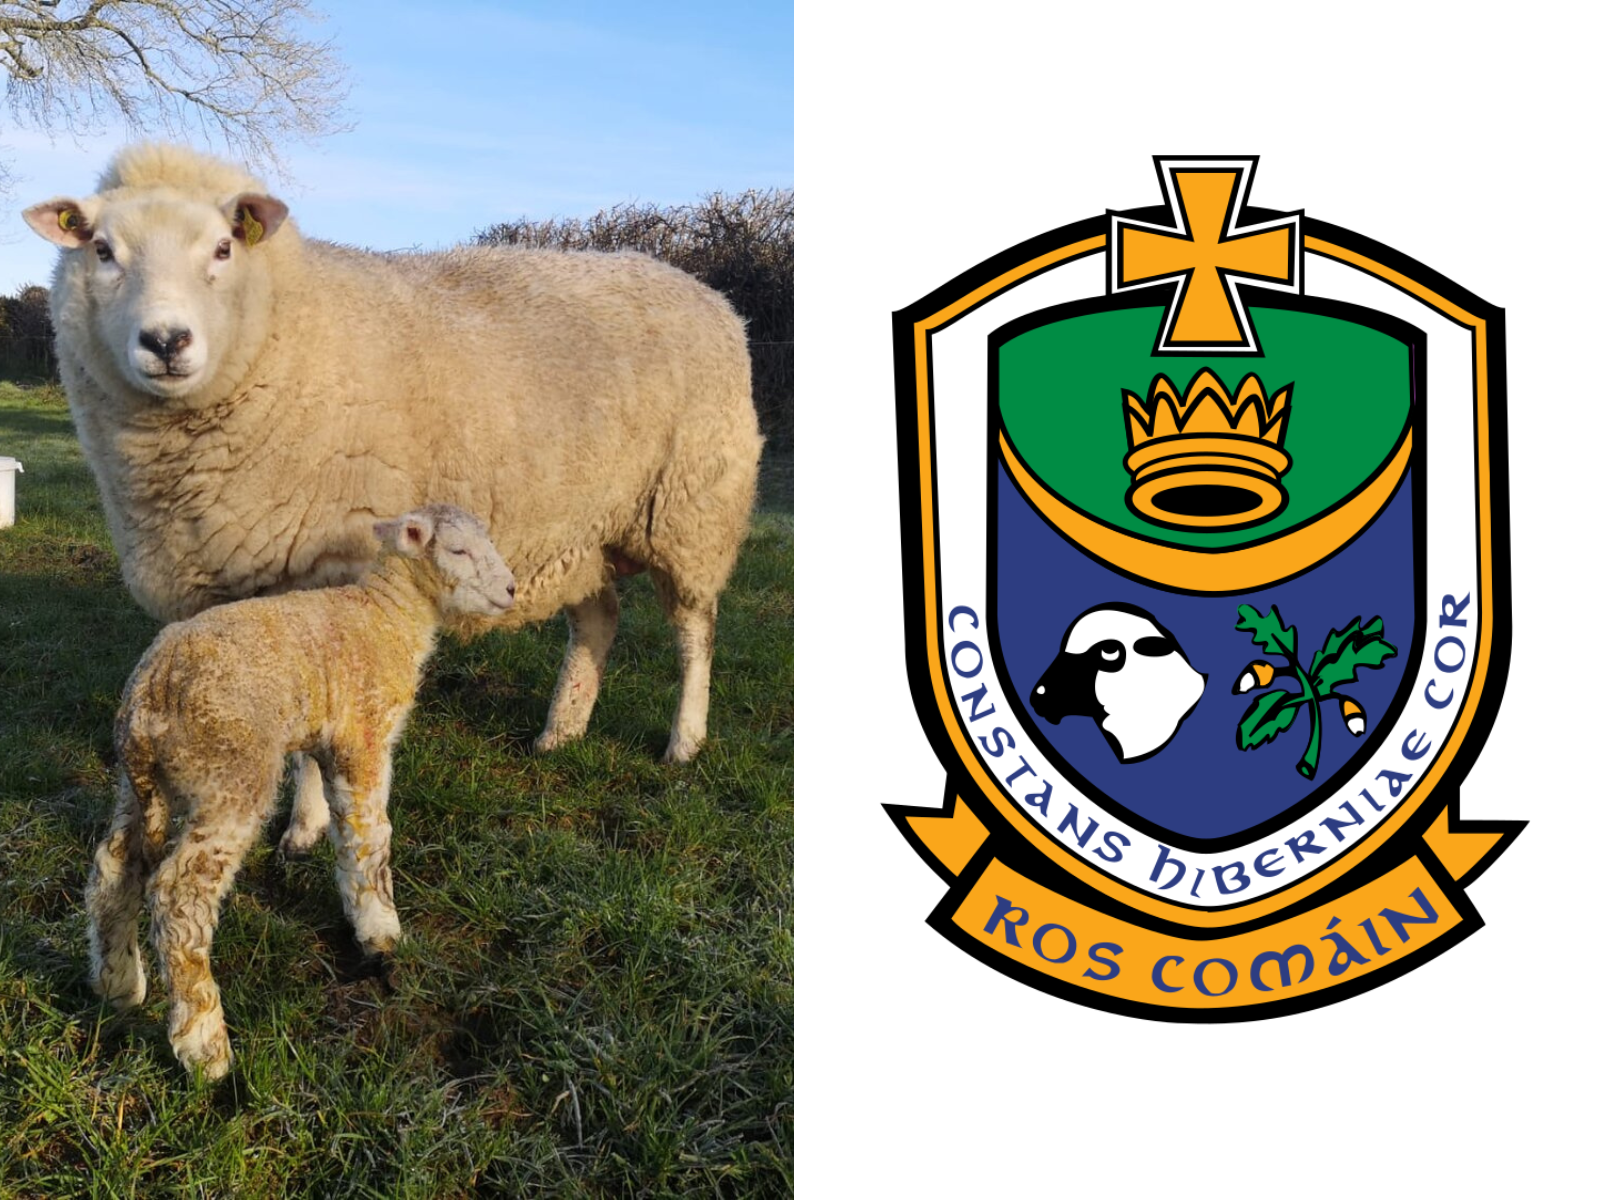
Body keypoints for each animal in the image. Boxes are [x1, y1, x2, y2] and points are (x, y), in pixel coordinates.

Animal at [22, 143, 763, 851]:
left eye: (223, 248)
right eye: (102, 250)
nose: (166, 341)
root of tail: (710, 295)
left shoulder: (326, 569)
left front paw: (305, 828)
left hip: (692, 510)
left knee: (695, 632)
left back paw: (684, 742)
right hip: (582, 527)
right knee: (598, 619)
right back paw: (562, 731)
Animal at [85, 503, 517, 1080]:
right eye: (459, 550)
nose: (512, 589)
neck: (388, 616)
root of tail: (152, 692)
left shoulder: (329, 740)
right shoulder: (363, 735)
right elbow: (369, 835)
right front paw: (381, 930)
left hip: (141, 786)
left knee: (113, 868)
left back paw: (118, 984)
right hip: (230, 774)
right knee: (179, 898)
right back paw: (204, 1046)